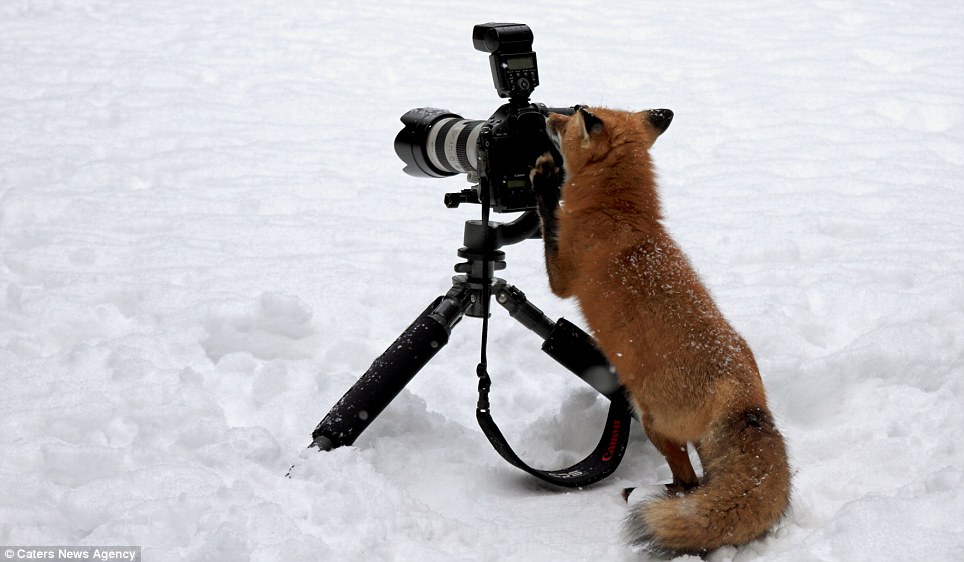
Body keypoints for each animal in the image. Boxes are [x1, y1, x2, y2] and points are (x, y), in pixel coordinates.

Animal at [530, 106, 791, 556]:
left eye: (575, 113)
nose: (546, 112)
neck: (619, 214)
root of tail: (743, 393)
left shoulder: (562, 278)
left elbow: (549, 225)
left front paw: (546, 184)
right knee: (701, 484)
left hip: (650, 419)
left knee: (688, 483)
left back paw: (648, 496)